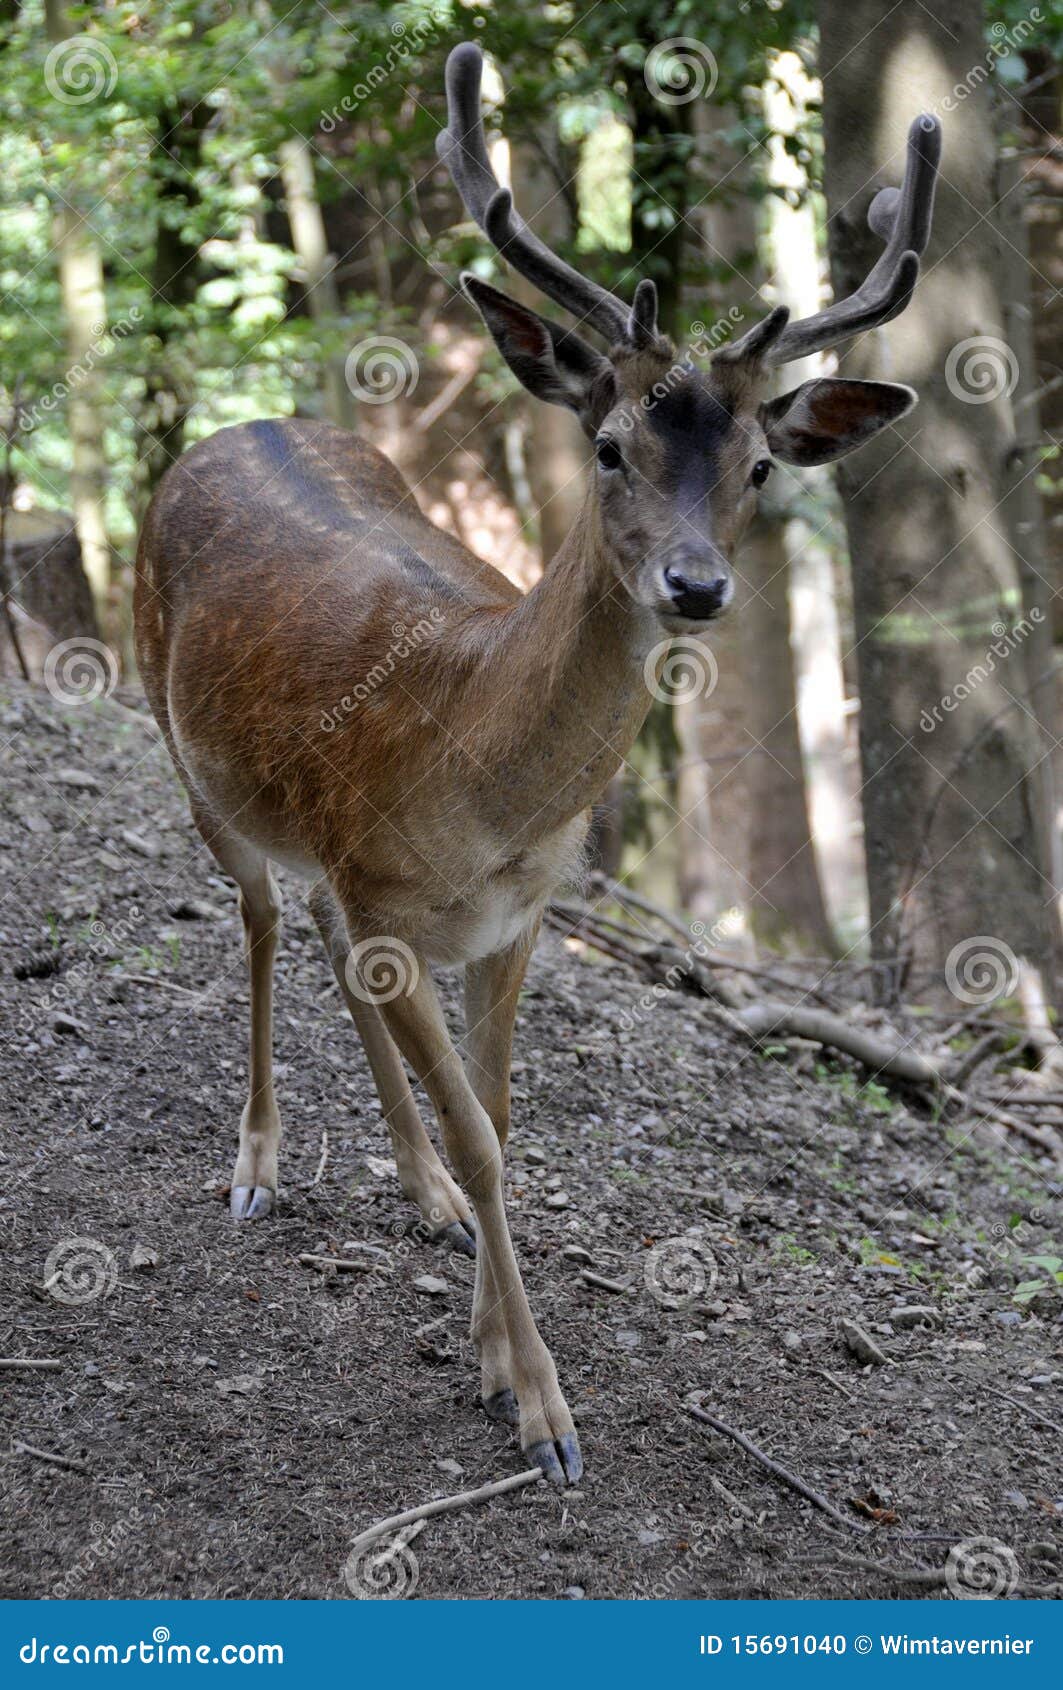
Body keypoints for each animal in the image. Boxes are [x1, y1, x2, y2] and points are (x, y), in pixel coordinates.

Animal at [133, 41, 940, 1484]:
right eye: (609, 444)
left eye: (754, 466)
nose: (695, 585)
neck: (480, 779)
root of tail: (238, 425)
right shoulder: (393, 896)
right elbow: (484, 1135)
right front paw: (543, 1410)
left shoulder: (518, 916)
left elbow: (499, 1122)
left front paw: (489, 1336)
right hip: (186, 749)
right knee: (264, 919)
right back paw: (258, 1160)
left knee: (322, 940)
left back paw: (415, 1190)